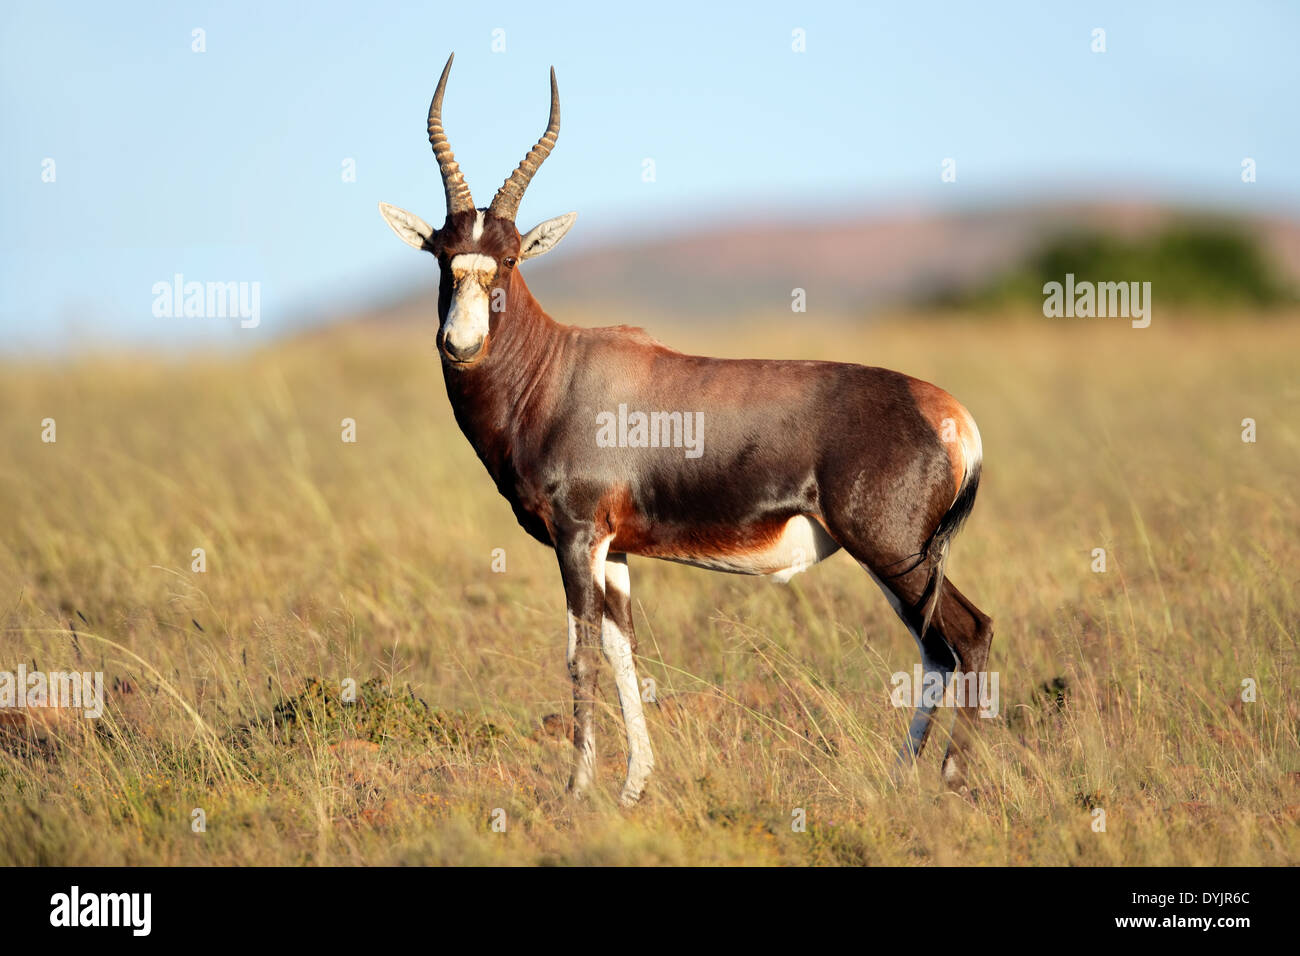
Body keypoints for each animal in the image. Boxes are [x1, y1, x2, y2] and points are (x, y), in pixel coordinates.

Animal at [379, 54, 993, 805]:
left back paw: (949, 781)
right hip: (897, 560)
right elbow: (623, 652)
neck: (559, 369)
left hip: (895, 553)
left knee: (968, 636)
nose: (459, 345)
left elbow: (581, 654)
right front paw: (632, 787)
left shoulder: (576, 536)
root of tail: (950, 414)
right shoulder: (613, 549)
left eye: (513, 257)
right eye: (442, 254)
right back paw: (901, 780)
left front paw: (576, 792)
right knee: (936, 650)